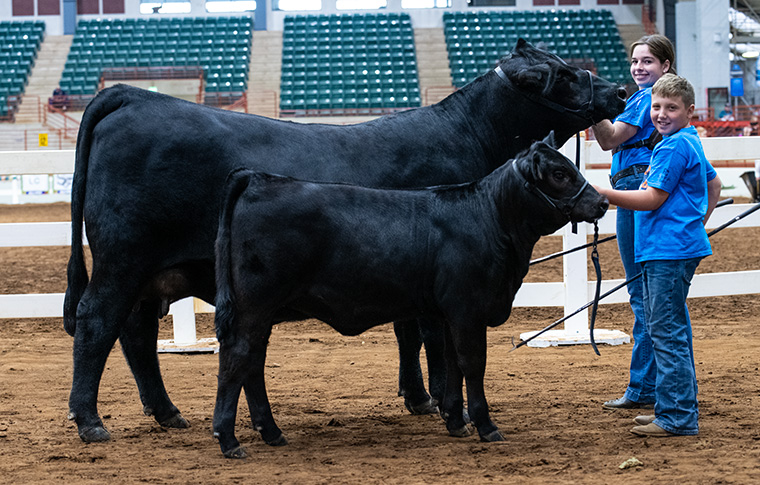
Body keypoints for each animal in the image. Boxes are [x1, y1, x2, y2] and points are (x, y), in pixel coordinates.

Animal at [211, 134, 608, 458]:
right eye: (559, 173)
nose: (603, 203)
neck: (489, 217)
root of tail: (258, 178)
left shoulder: (449, 313)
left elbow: (451, 363)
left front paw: (455, 420)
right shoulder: (468, 309)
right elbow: (472, 364)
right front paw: (485, 425)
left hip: (262, 311)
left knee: (253, 362)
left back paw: (271, 431)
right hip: (254, 306)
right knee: (238, 358)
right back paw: (229, 440)